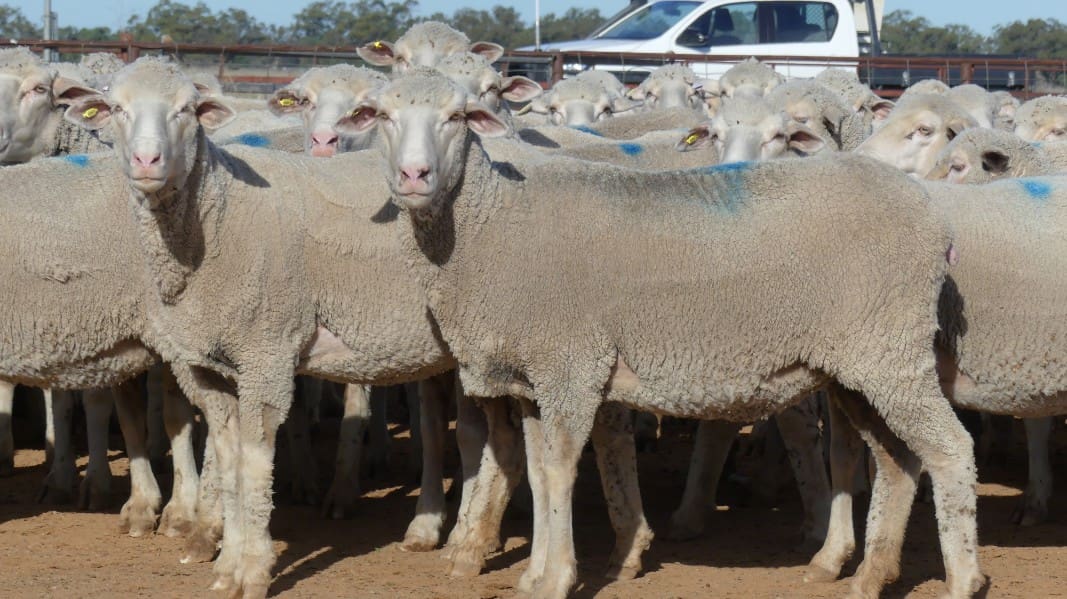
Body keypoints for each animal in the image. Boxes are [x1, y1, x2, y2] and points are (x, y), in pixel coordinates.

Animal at [338, 69, 985, 599]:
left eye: (456, 118)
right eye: (384, 116)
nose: (414, 175)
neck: (488, 223)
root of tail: (929, 214)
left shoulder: (570, 366)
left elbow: (559, 470)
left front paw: (556, 577)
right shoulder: (532, 380)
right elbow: (536, 468)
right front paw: (533, 572)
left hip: (890, 355)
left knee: (951, 450)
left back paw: (961, 581)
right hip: (860, 370)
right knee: (899, 462)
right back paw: (868, 576)